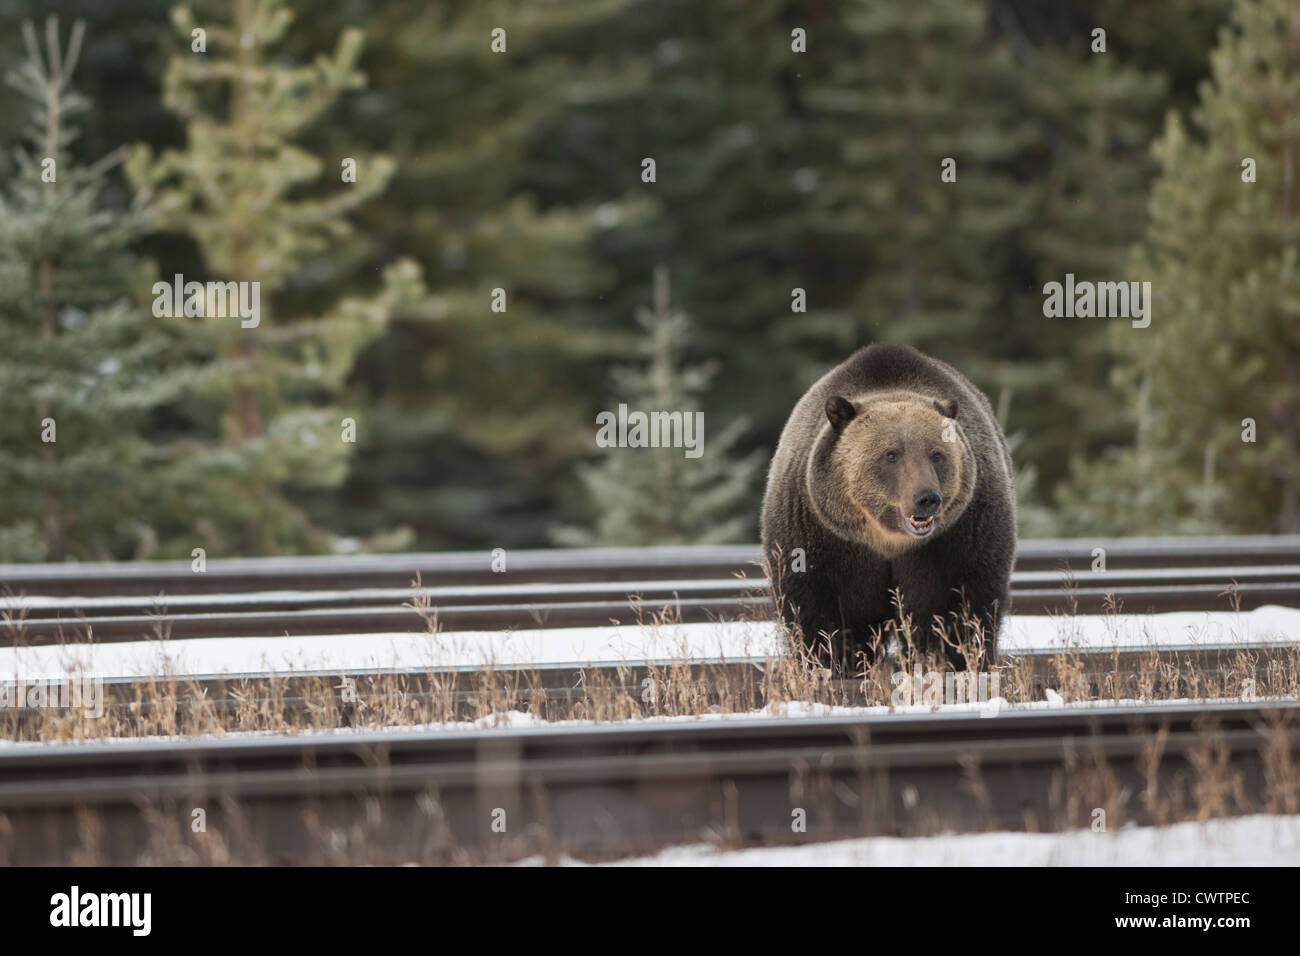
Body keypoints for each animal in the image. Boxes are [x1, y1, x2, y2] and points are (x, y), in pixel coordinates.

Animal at [760, 343, 1016, 671]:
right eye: (891, 455)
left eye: (937, 454)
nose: (927, 497)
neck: (888, 541)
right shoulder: (818, 534)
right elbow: (815, 612)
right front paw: (832, 662)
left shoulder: (961, 534)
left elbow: (964, 605)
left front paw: (957, 658)